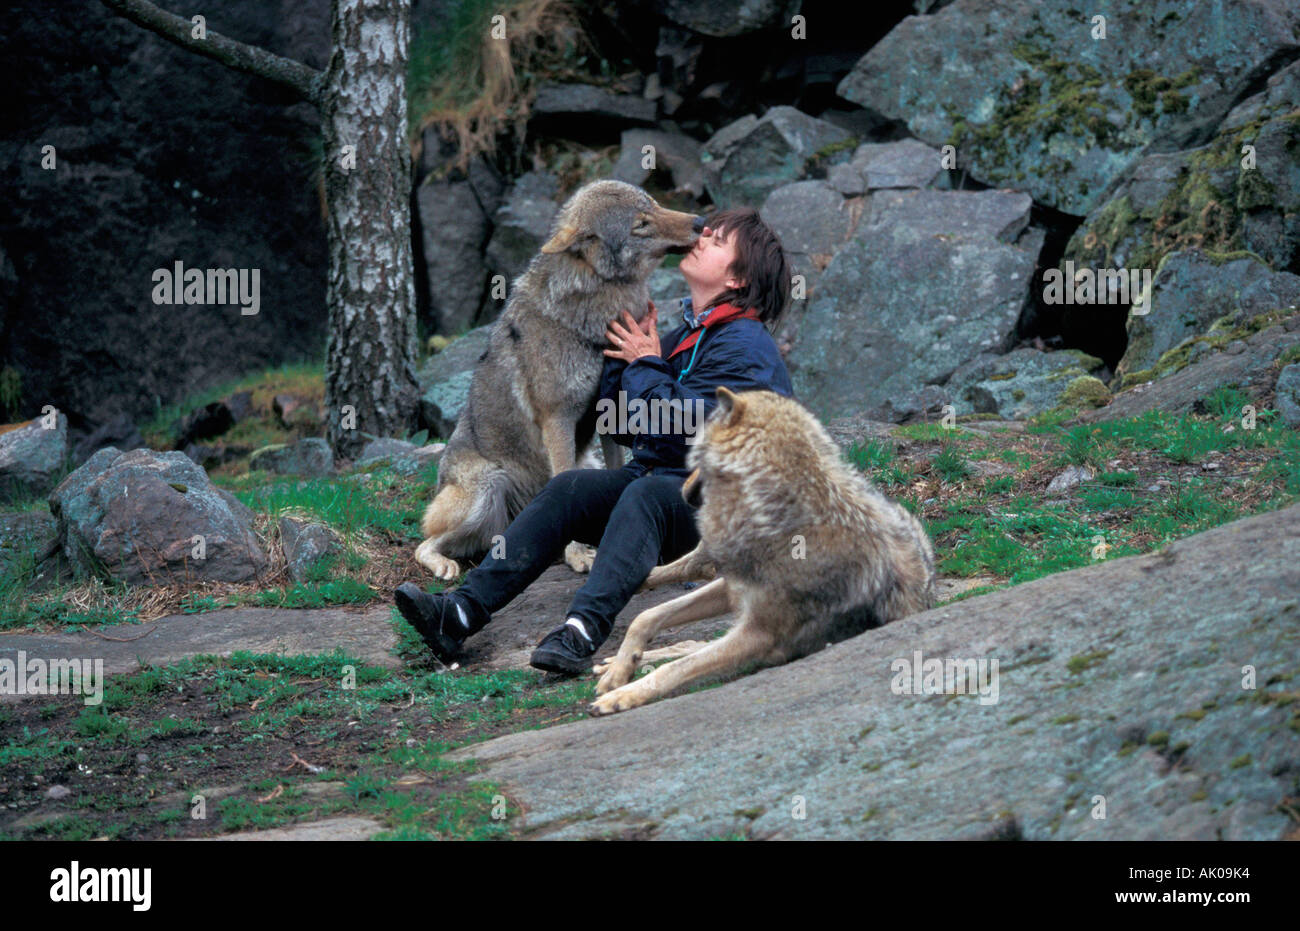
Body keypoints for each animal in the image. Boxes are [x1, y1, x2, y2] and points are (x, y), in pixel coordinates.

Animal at [590, 387, 937, 715]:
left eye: (694, 458)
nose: (682, 491)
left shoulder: (760, 634)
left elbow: (676, 667)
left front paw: (622, 695)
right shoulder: (734, 589)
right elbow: (647, 616)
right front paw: (619, 671)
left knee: (689, 644)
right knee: (686, 634)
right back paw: (611, 662)